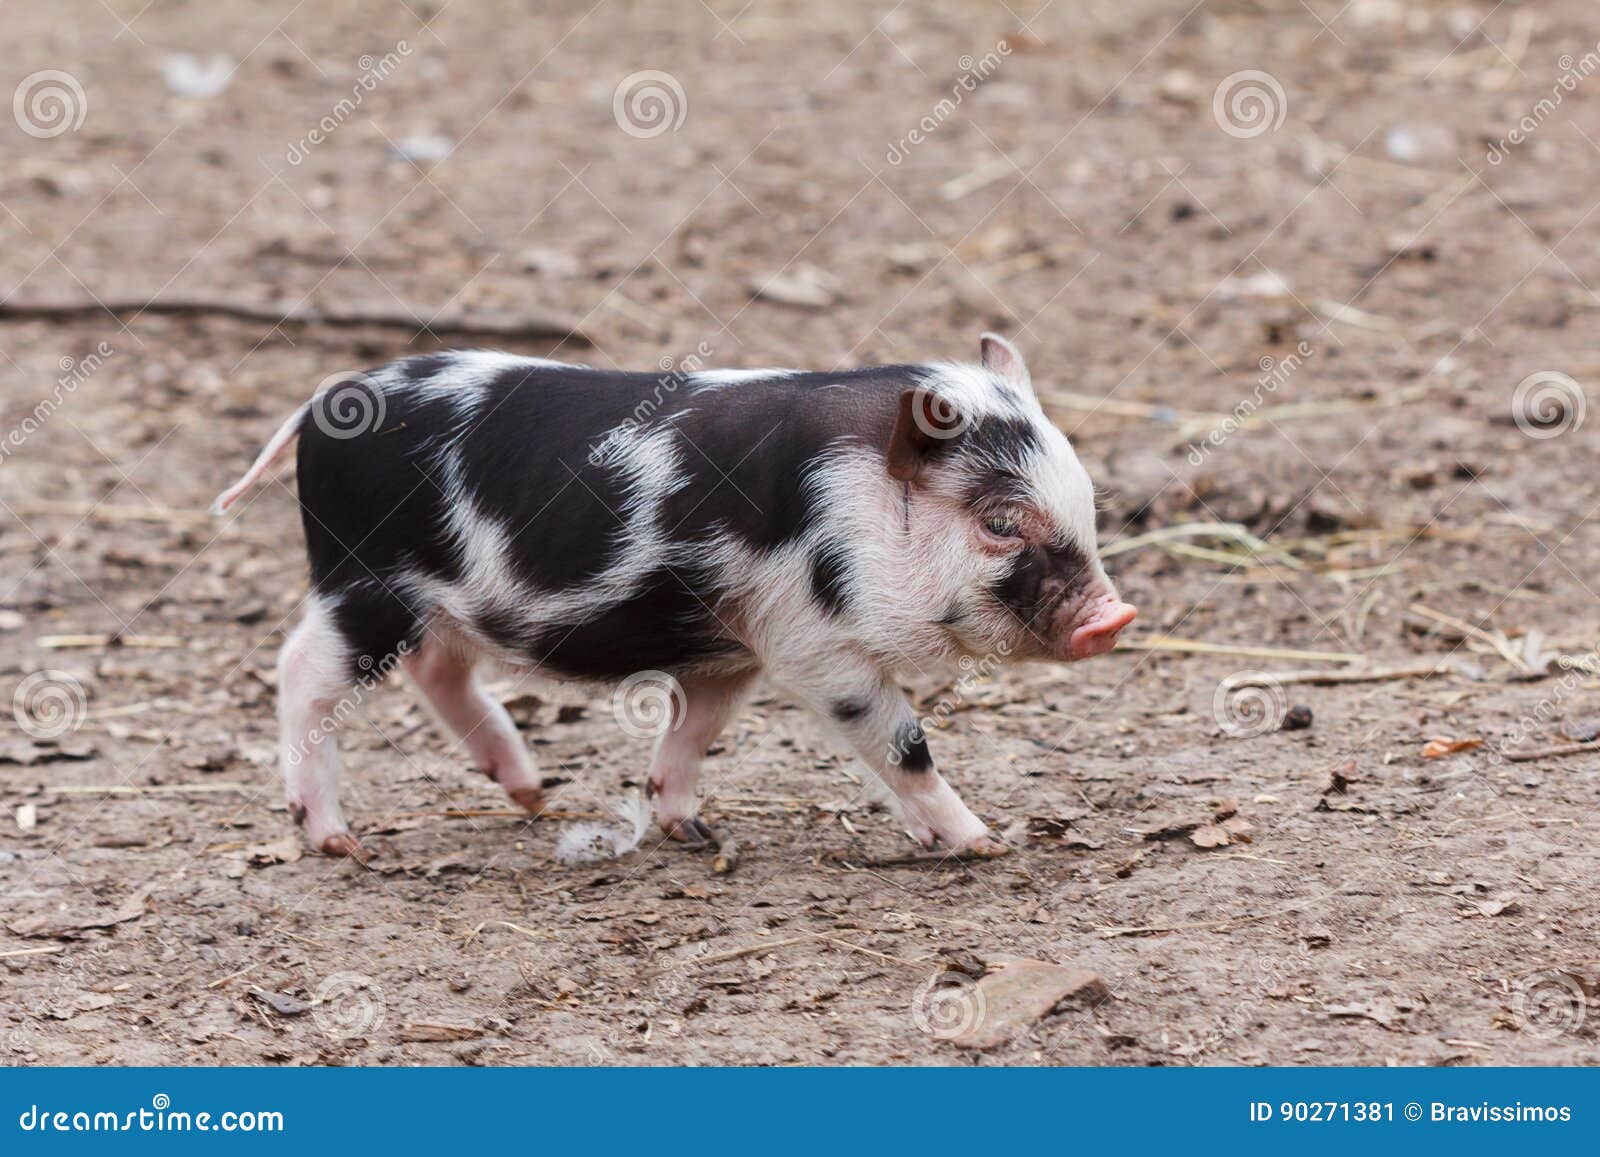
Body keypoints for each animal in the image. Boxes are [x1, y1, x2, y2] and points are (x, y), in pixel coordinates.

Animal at [212, 334, 1136, 862]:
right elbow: (901, 742)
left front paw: (690, 830)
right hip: (364, 581)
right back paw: (338, 841)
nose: (1114, 616)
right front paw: (987, 844)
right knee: (301, 669)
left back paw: (532, 794)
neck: (850, 500)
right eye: (1000, 521)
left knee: (438, 670)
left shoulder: (734, 644)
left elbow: (696, 727)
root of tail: (318, 406)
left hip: (439, 601)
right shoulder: (814, 644)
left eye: (1086, 501)